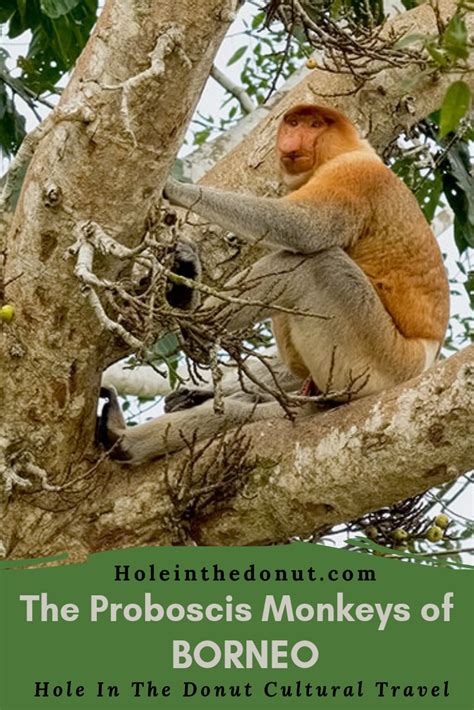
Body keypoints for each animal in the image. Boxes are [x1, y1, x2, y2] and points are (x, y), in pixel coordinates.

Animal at [99, 103, 450, 465]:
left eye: (314, 125)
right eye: (293, 123)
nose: (292, 139)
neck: (349, 149)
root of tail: (423, 359)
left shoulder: (353, 174)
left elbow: (304, 227)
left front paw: (175, 189)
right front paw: (194, 392)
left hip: (373, 362)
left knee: (315, 265)